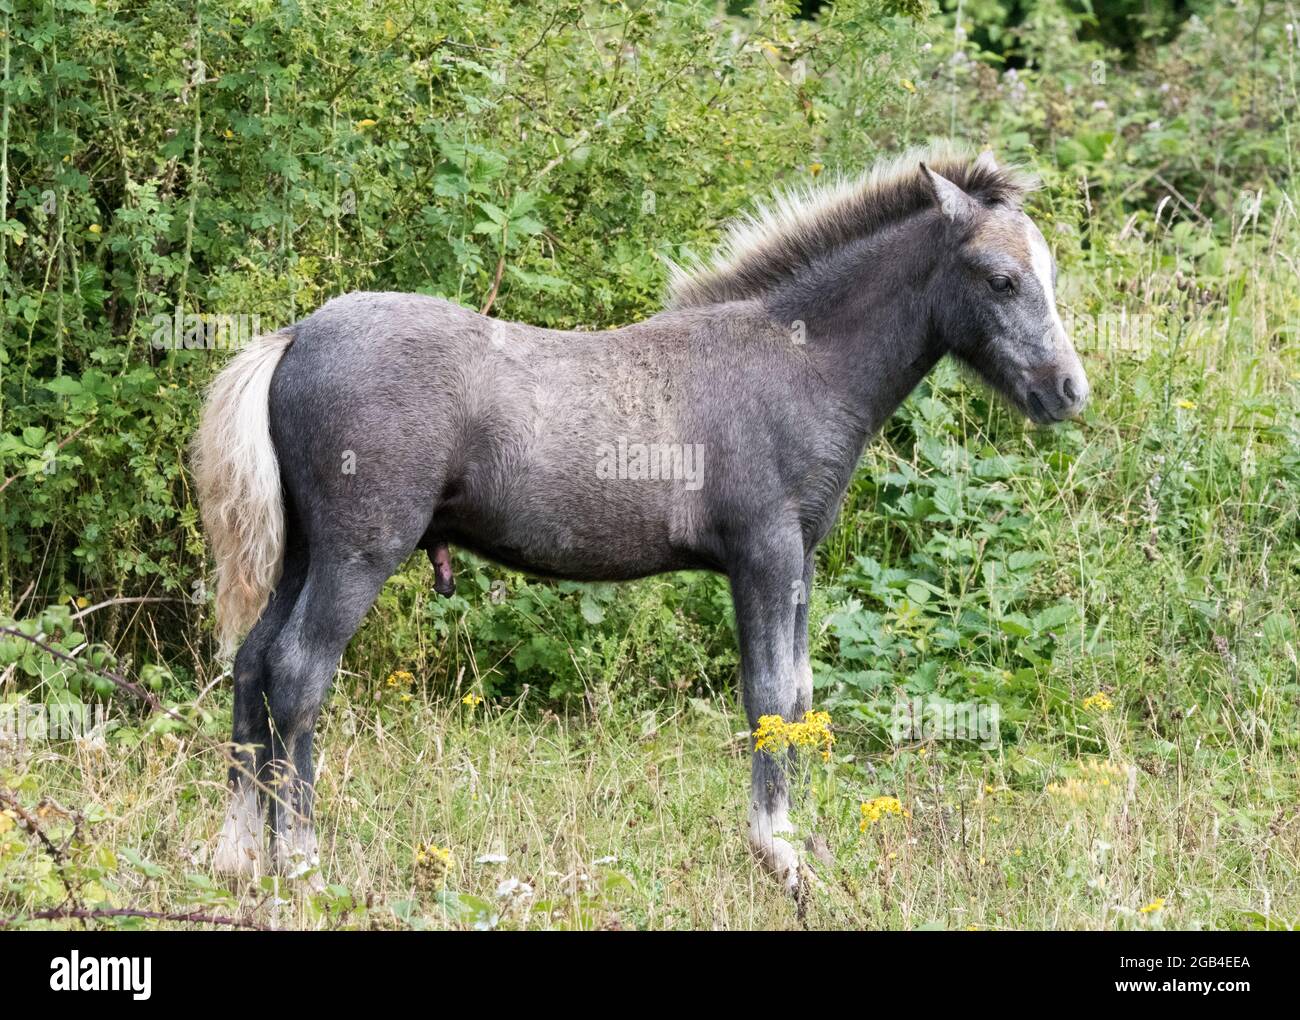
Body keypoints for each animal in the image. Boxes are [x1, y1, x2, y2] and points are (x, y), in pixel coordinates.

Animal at [194, 142, 1089, 893]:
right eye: (1001, 279)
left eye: (1048, 273)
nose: (1068, 390)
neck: (797, 359)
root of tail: (295, 334)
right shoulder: (765, 551)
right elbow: (769, 695)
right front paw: (780, 856)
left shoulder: (800, 557)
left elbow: (800, 696)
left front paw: (803, 844)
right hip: (359, 550)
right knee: (299, 672)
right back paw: (301, 861)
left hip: (305, 552)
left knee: (252, 663)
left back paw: (237, 856)